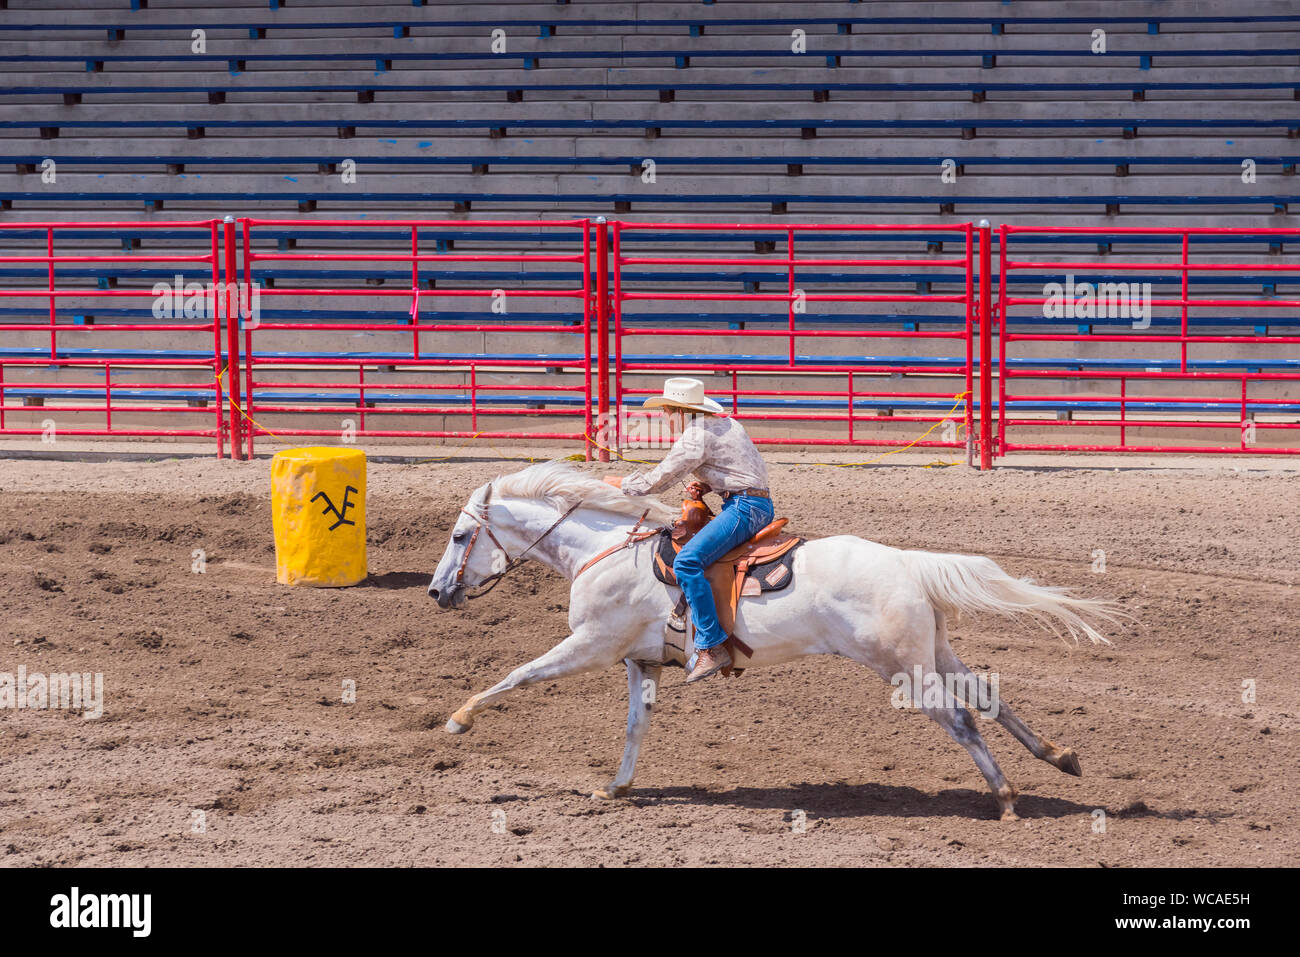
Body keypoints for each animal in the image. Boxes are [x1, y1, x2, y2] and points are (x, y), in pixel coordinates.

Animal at [427, 460, 1124, 820]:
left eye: (460, 536)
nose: (436, 593)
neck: (602, 551)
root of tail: (907, 561)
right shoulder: (640, 662)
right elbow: (635, 728)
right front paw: (617, 787)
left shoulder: (592, 646)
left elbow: (516, 674)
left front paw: (458, 718)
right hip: (934, 653)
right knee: (987, 695)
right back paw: (1059, 756)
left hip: (903, 669)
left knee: (961, 720)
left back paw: (1005, 798)